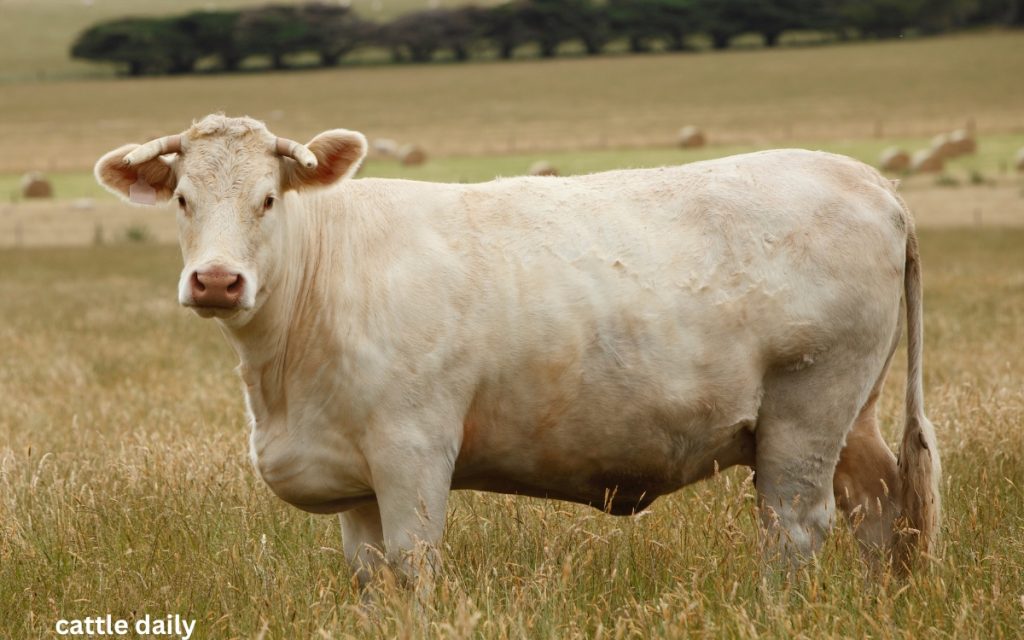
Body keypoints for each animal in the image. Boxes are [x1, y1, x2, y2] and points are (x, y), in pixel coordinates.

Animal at [95, 114, 940, 589]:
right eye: (182, 199)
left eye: (268, 199)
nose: (216, 280)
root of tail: (871, 181)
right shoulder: (355, 474)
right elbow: (371, 577)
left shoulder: (412, 447)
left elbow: (413, 565)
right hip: (851, 413)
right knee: (881, 504)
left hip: (808, 403)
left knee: (795, 528)